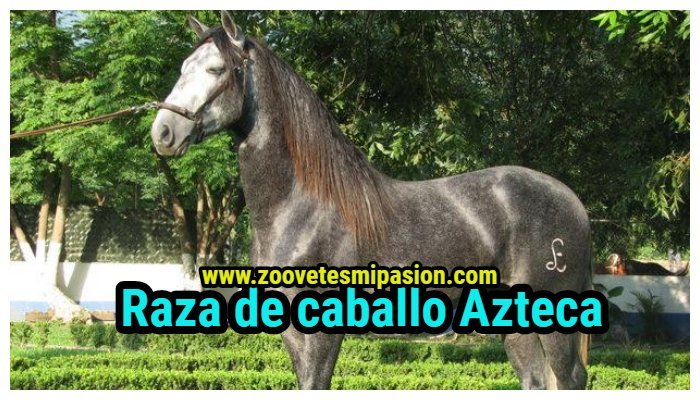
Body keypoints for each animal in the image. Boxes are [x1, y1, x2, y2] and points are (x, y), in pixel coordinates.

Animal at [151, 11, 593, 390]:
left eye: (216, 69)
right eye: (183, 68)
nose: (163, 132)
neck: (301, 207)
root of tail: (573, 202)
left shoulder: (323, 327)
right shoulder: (291, 329)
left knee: (569, 378)